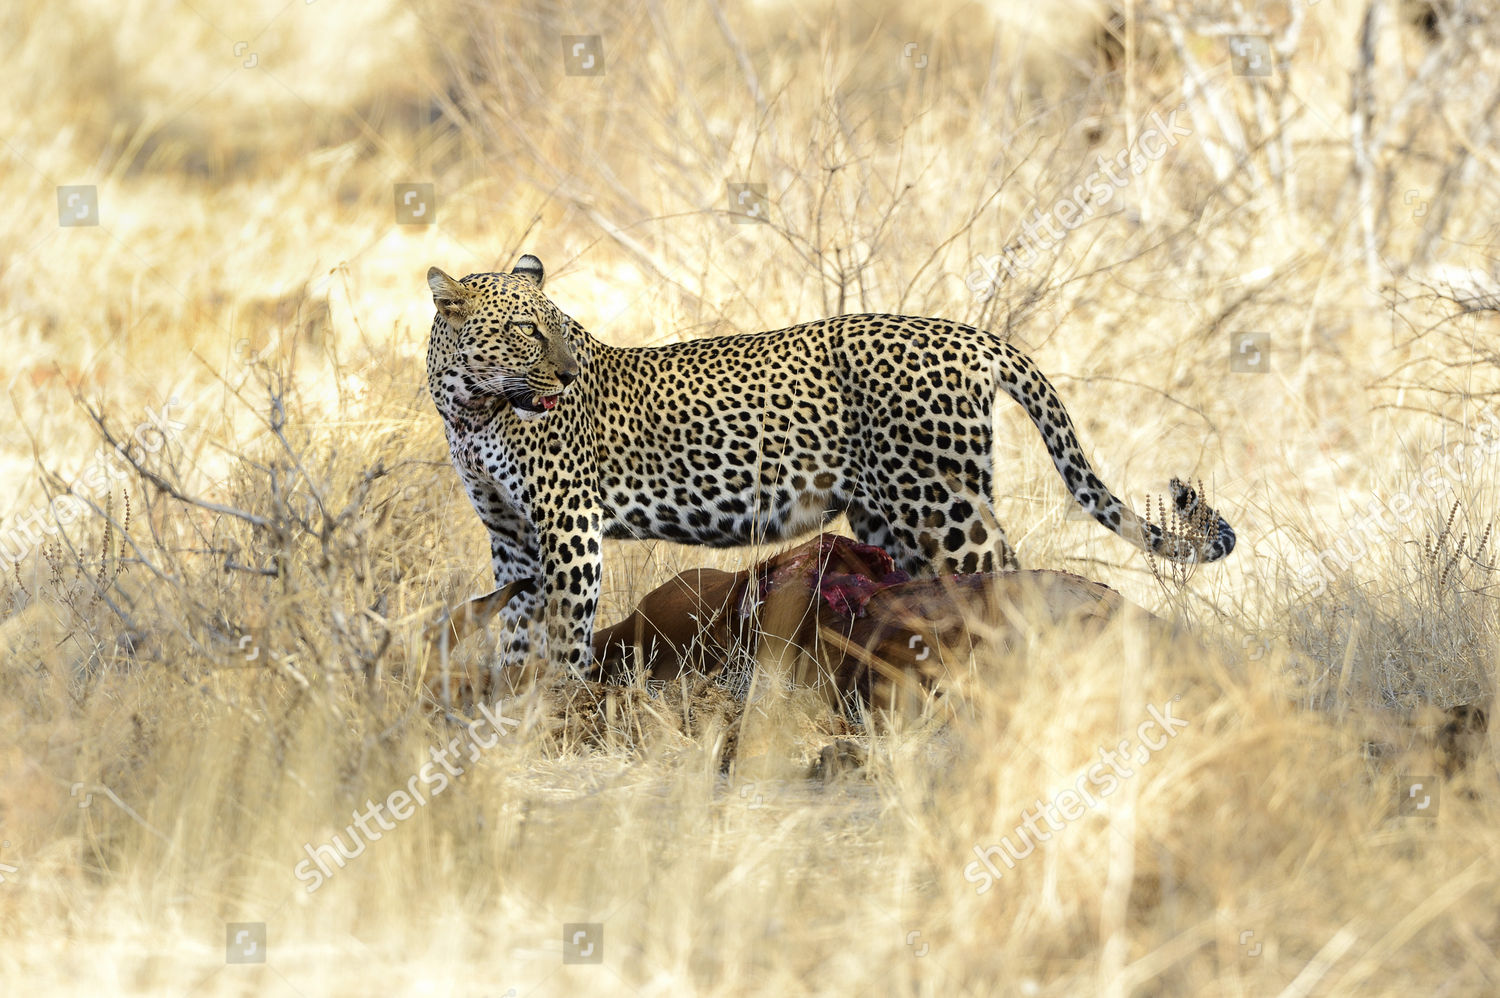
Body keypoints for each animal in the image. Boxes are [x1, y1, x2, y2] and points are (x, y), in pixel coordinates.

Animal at [425, 254, 1235, 676]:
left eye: (560, 330)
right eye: (526, 331)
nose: (564, 377)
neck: (472, 407)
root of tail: (970, 335)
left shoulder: (568, 528)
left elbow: (564, 632)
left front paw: (556, 710)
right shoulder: (511, 538)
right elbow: (515, 626)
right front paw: (511, 704)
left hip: (942, 507)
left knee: (1007, 579)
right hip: (893, 518)